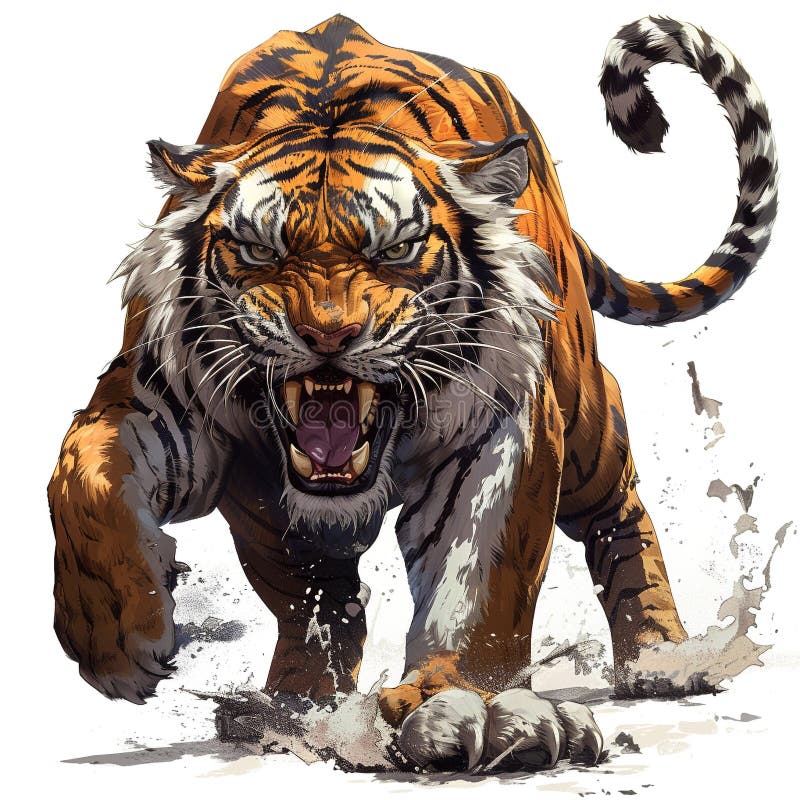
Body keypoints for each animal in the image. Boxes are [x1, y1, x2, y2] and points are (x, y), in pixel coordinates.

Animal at [48, 15, 777, 771]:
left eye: (395, 250)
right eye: (262, 251)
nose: (328, 332)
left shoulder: (501, 426)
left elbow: (478, 577)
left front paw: (474, 709)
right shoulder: (156, 399)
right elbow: (81, 476)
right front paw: (119, 643)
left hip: (585, 420)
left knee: (620, 512)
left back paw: (662, 661)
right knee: (320, 599)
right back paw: (290, 707)